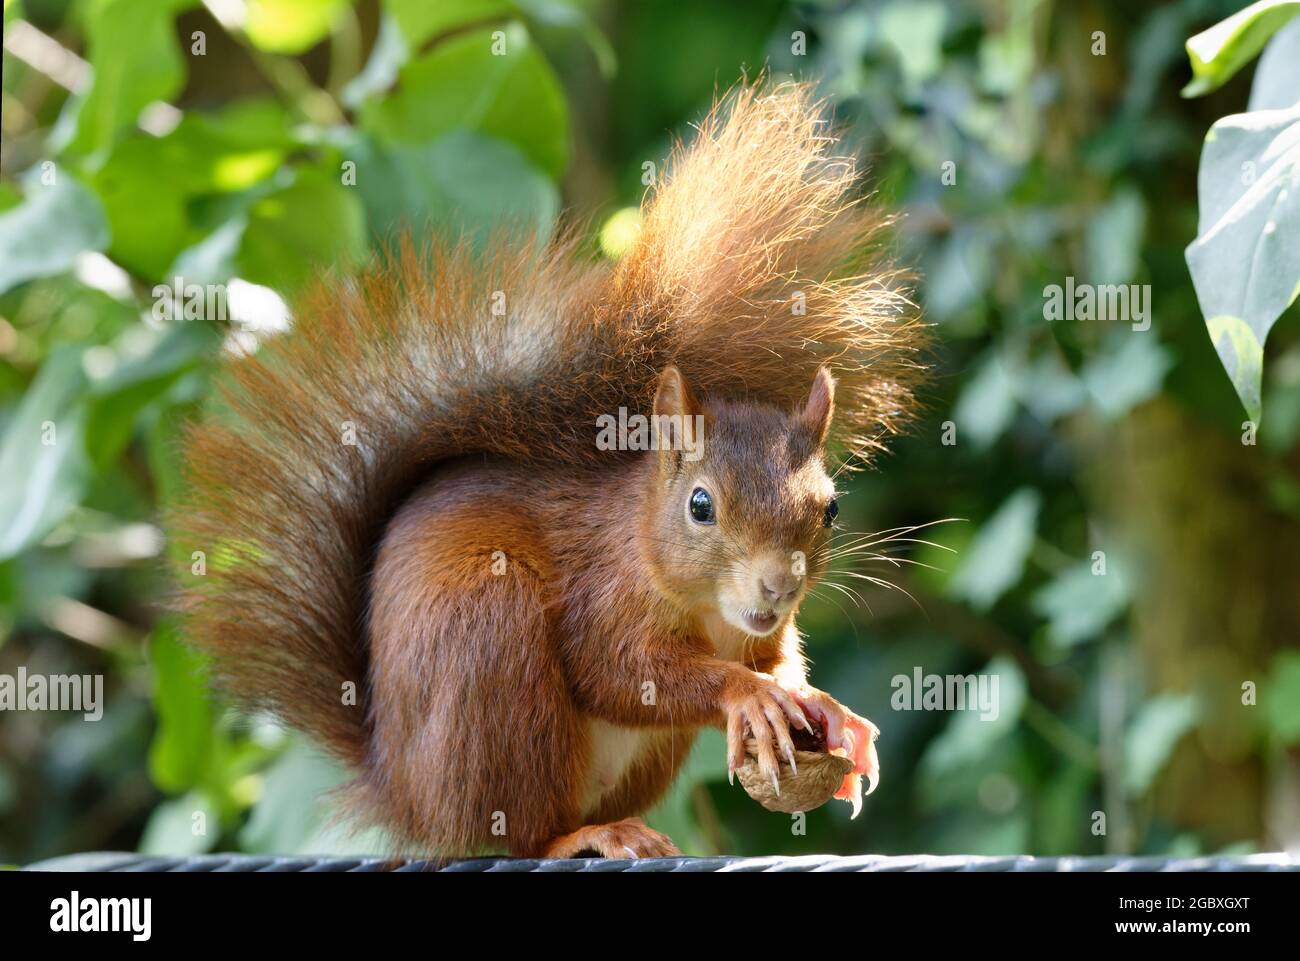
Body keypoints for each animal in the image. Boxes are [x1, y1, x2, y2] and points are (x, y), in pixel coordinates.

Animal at [170, 83, 927, 859]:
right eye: (700, 505)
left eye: (831, 507)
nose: (778, 585)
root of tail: (406, 796)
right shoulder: (603, 592)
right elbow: (615, 672)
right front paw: (745, 694)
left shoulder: (765, 632)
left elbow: (780, 663)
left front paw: (825, 708)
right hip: (489, 643)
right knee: (519, 832)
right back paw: (583, 834)